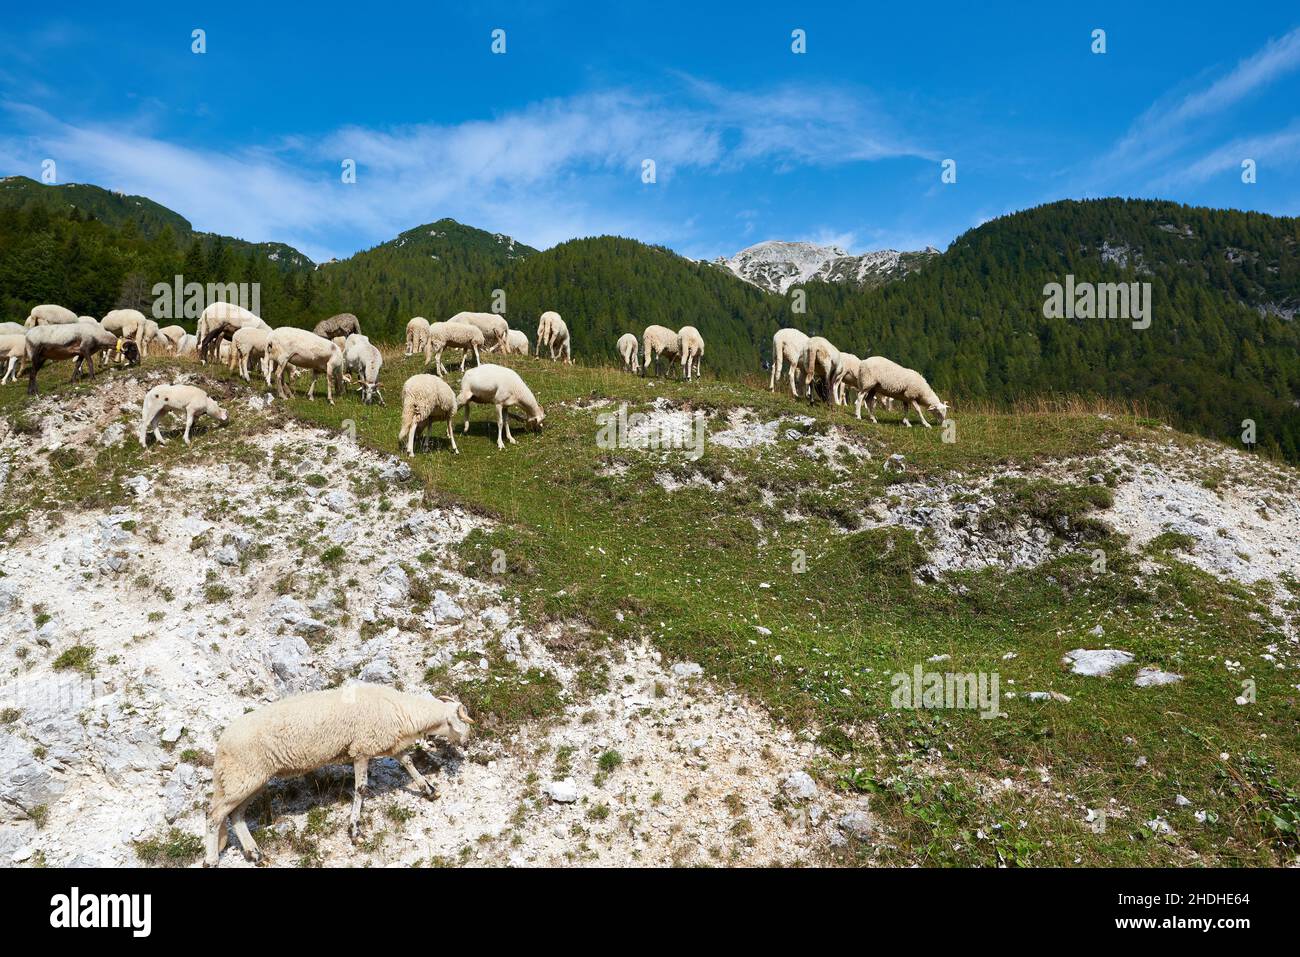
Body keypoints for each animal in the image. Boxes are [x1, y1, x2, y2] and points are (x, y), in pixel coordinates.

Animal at [205, 683, 473, 865]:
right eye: (460, 722)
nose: (468, 743)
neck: (401, 711)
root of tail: (221, 746)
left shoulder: (387, 744)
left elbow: (407, 761)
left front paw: (429, 790)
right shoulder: (362, 748)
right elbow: (361, 789)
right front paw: (355, 831)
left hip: (251, 780)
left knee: (236, 816)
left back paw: (255, 854)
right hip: (242, 776)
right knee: (214, 816)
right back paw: (212, 859)